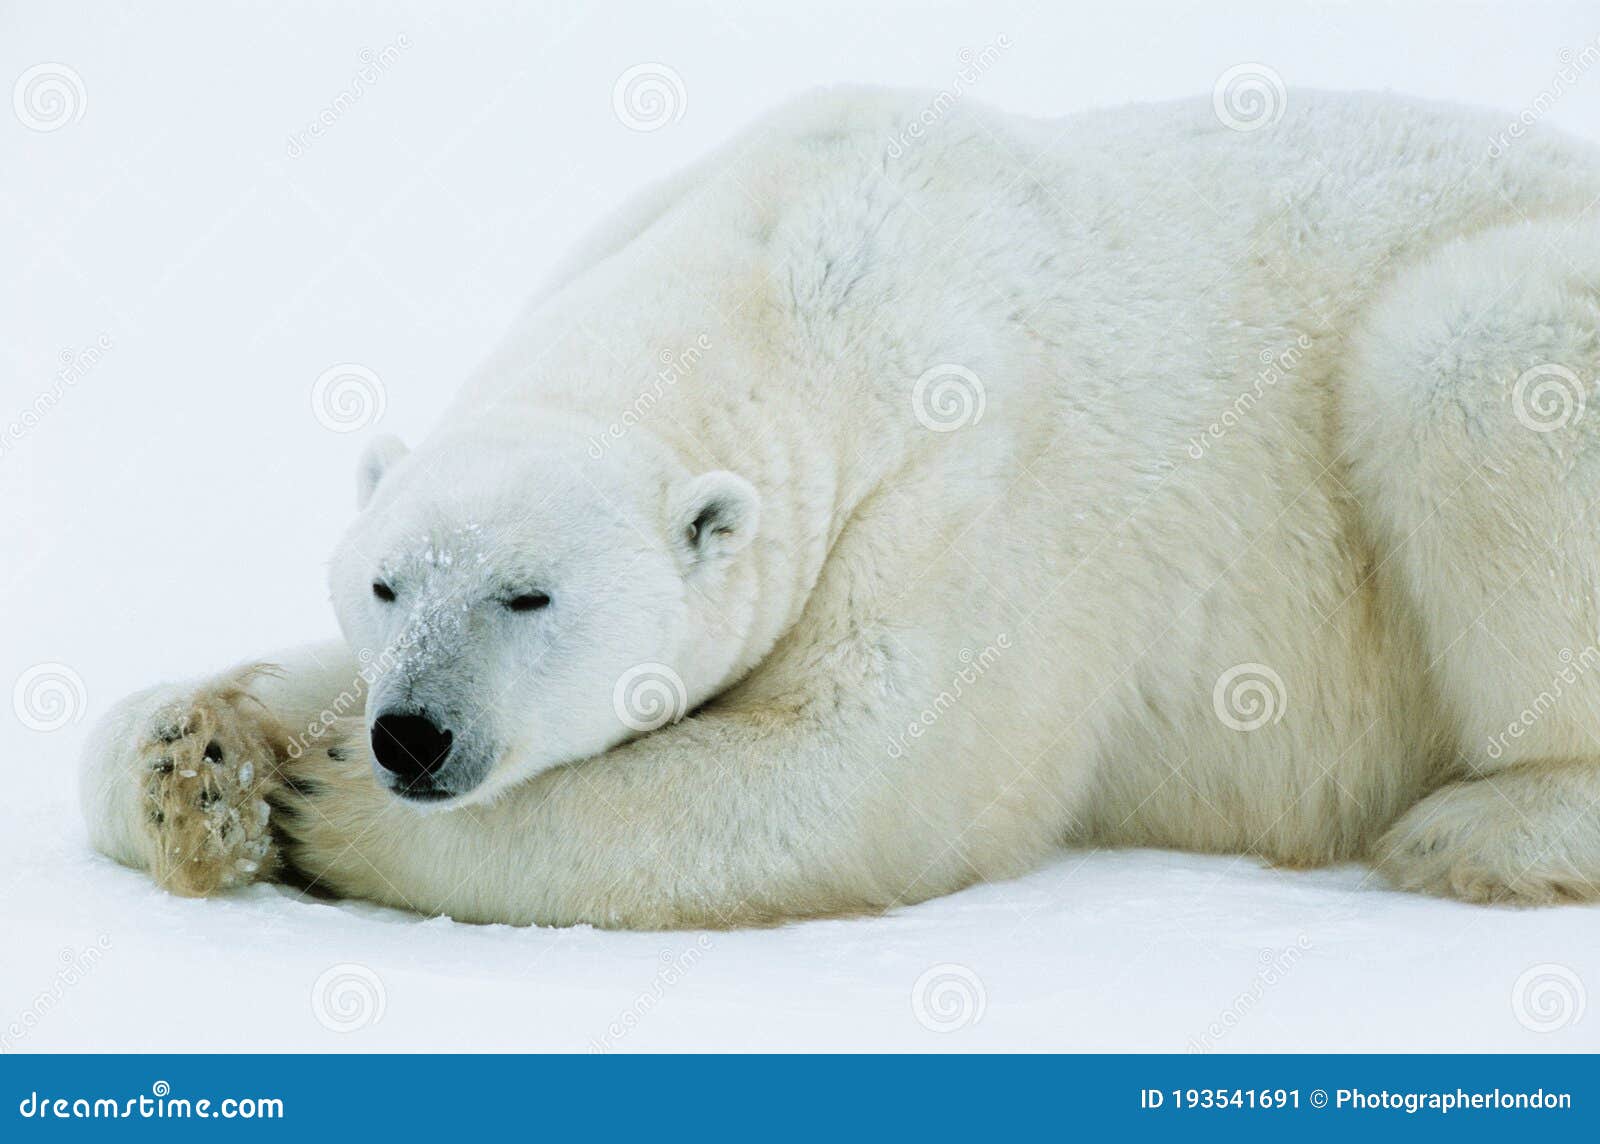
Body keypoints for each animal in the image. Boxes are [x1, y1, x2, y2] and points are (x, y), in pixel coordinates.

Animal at [80, 87, 1600, 928]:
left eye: (531, 596)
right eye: (386, 583)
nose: (410, 733)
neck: (804, 268)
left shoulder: (983, 482)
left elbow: (856, 774)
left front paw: (322, 801)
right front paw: (203, 763)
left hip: (1513, 331)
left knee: (1464, 353)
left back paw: (1477, 835)